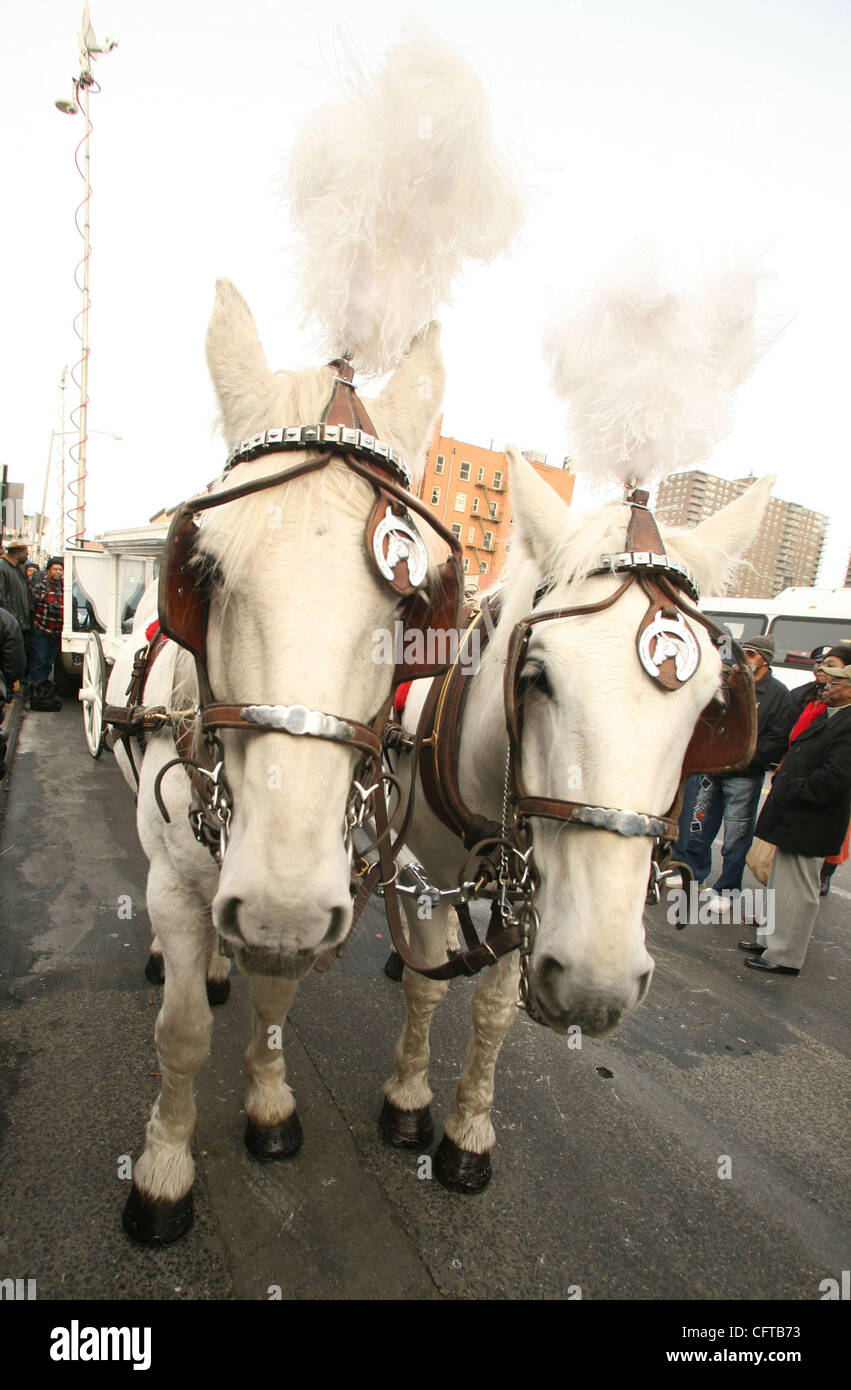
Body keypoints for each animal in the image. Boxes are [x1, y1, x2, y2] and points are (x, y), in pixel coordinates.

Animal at [378, 446, 774, 1191]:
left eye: (712, 708)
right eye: (535, 677)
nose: (598, 984)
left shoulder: (529, 887)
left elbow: (493, 1010)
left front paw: (468, 1133)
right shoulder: (425, 876)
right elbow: (426, 990)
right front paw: (408, 1100)